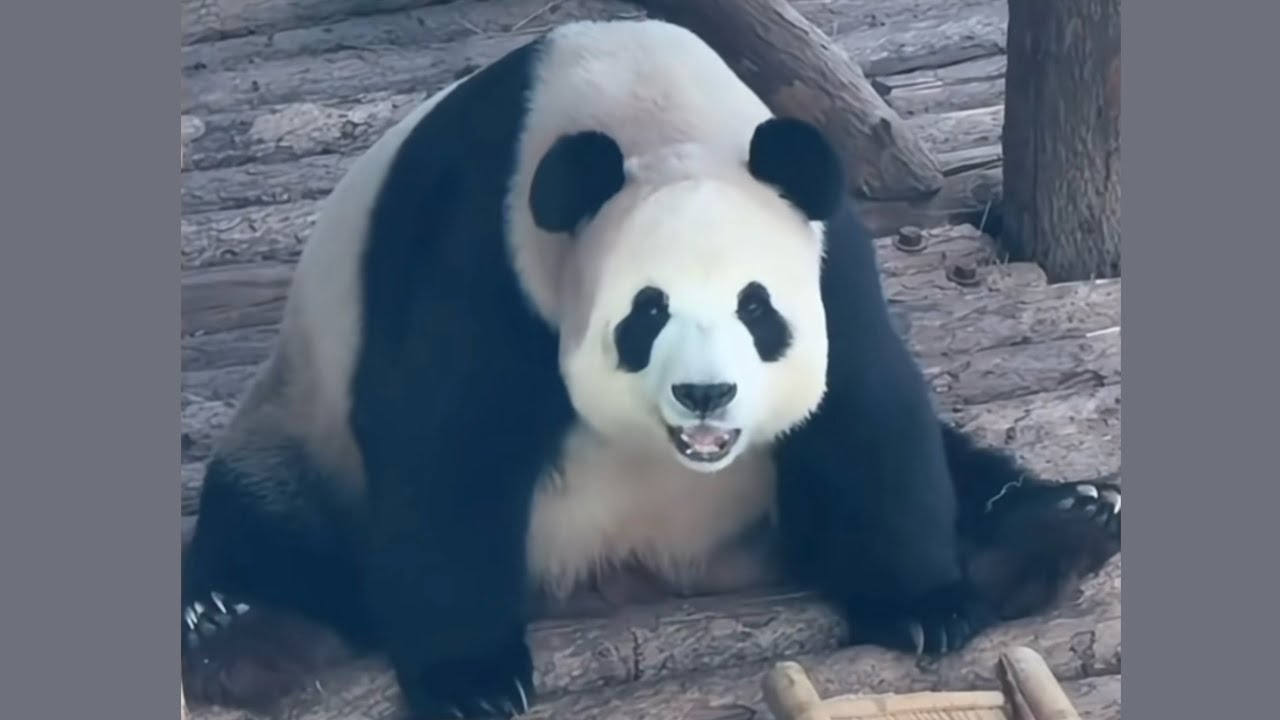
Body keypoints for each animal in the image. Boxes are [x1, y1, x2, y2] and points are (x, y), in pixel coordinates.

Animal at [180, 18, 1122, 720]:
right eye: (646, 313)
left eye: (756, 311)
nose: (706, 398)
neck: (653, 119)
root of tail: (634, 569)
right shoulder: (484, 242)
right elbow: (446, 439)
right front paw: (472, 679)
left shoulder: (822, 253)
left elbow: (864, 408)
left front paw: (924, 606)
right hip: (299, 418)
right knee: (278, 525)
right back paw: (235, 627)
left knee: (949, 471)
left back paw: (1060, 523)